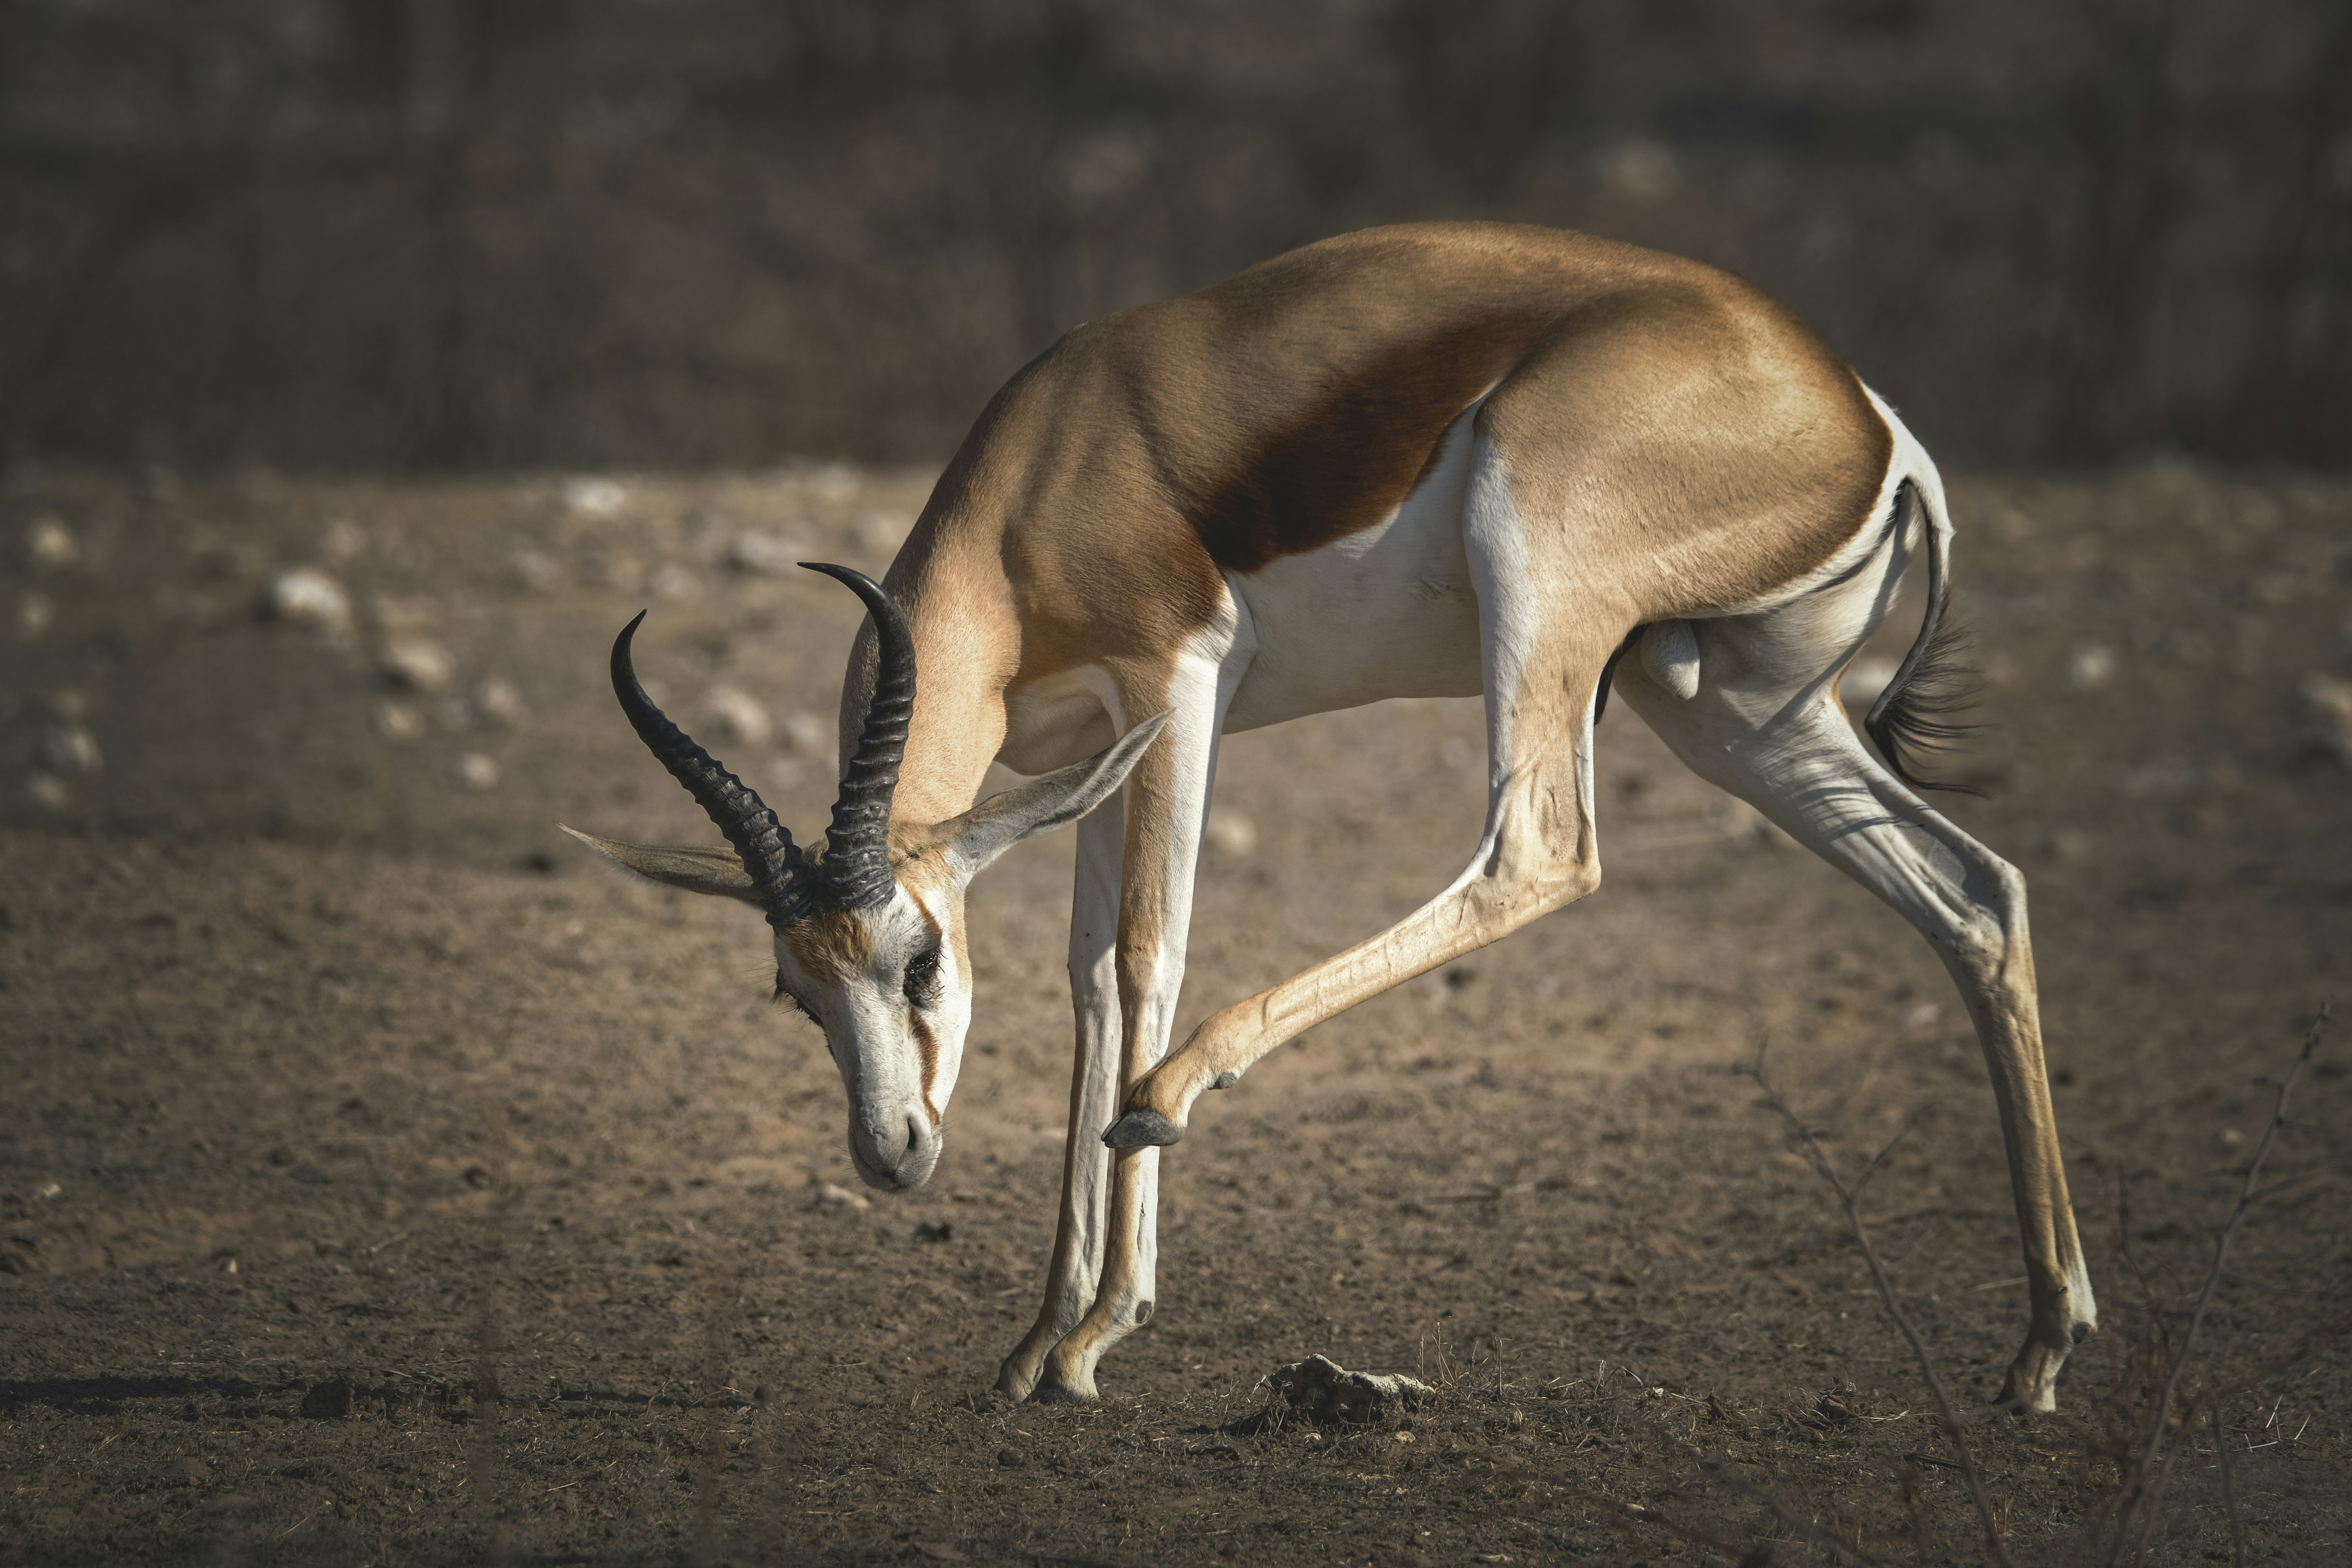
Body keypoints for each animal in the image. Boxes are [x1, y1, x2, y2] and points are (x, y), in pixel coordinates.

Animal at [568, 223, 2096, 1413]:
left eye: (919, 960)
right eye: (793, 987)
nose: (890, 1156)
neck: (1050, 463)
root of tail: (1867, 420)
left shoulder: (1175, 685)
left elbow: (1146, 958)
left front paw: (1097, 1334)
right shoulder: (1093, 752)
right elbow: (1084, 984)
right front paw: (1034, 1340)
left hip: (1548, 595)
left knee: (1538, 852)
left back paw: (1175, 1094)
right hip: (1730, 707)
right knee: (1973, 891)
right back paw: (2040, 1349)